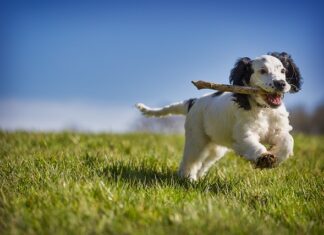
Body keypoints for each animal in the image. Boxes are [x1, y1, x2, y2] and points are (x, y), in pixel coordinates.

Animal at [136, 52, 302, 181]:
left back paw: (198, 178)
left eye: (283, 70)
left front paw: (277, 156)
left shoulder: (278, 130)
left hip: (216, 148)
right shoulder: (243, 135)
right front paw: (264, 158)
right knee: (190, 161)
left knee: (204, 163)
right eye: (262, 71)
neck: (263, 110)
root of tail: (193, 101)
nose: (281, 84)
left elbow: (288, 140)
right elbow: (253, 145)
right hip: (196, 139)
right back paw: (188, 179)